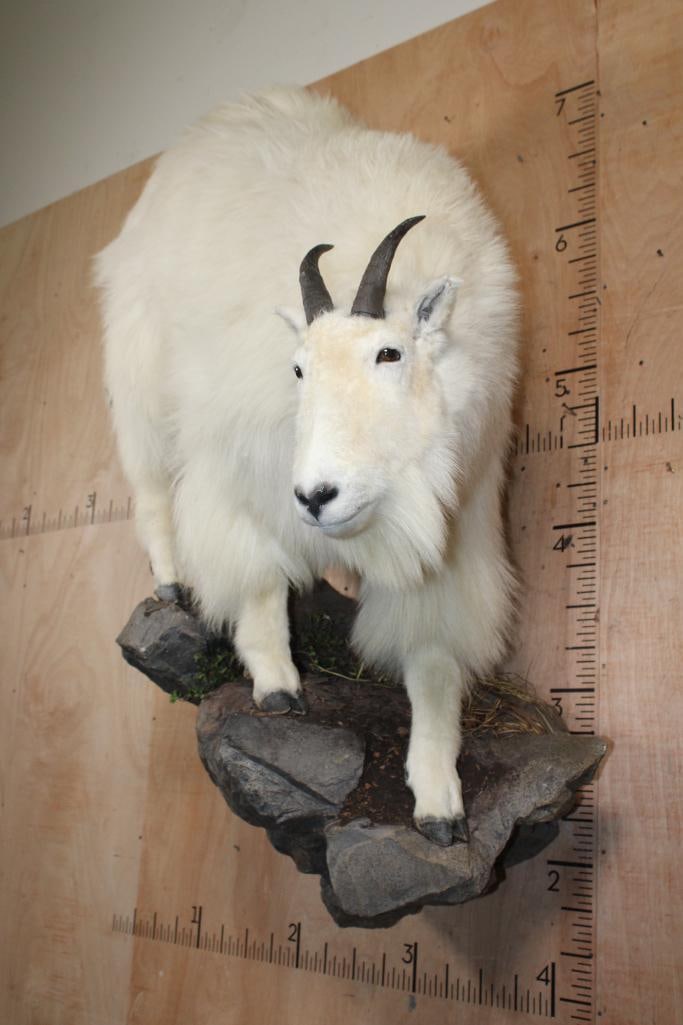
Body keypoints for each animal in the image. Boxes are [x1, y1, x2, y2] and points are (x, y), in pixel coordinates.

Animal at [96, 86, 519, 846]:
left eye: (389, 352)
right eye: (297, 368)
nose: (319, 495)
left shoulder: (457, 527)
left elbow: (433, 663)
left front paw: (438, 799)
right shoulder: (239, 469)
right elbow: (256, 577)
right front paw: (276, 684)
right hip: (140, 380)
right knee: (150, 490)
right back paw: (170, 582)